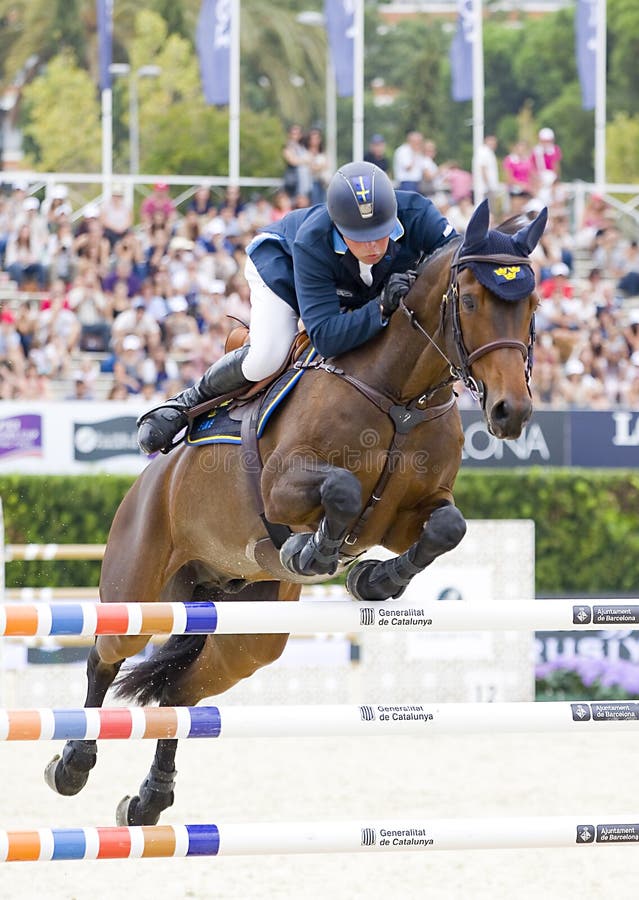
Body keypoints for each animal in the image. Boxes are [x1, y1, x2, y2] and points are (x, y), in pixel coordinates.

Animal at [45, 199, 547, 825]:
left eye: (531, 305)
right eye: (472, 300)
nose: (510, 412)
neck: (400, 395)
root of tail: (150, 480)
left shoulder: (408, 514)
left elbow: (446, 527)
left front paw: (374, 580)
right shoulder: (284, 487)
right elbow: (342, 492)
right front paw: (313, 552)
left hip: (249, 637)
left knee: (180, 694)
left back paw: (149, 800)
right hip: (138, 587)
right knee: (103, 656)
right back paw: (73, 764)